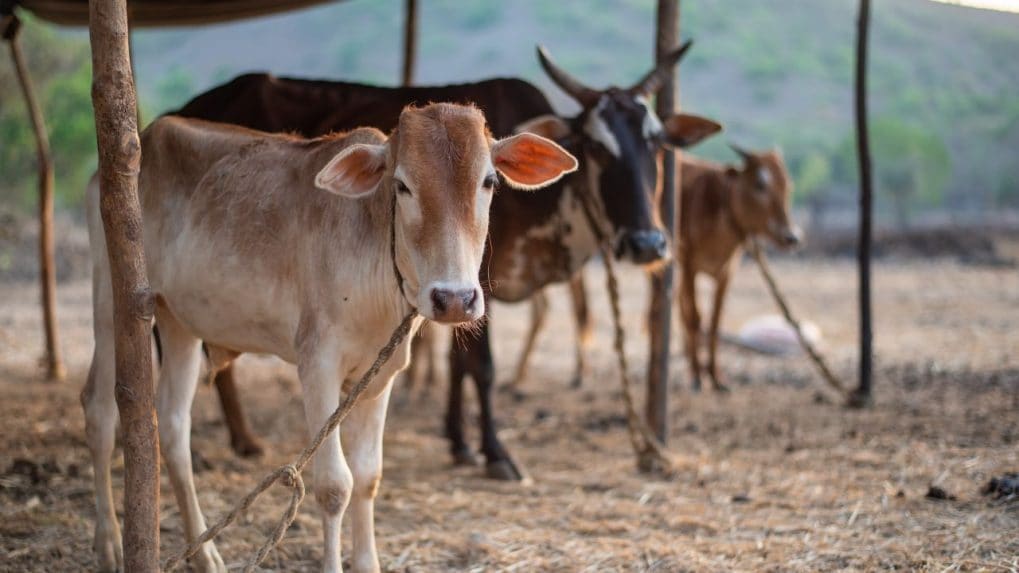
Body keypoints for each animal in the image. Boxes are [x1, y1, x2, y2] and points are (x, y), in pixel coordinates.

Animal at [82, 105, 576, 573]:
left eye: (488, 182)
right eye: (402, 186)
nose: (454, 299)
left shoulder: (381, 375)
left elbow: (368, 475)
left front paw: (369, 563)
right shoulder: (317, 364)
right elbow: (335, 484)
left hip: (179, 322)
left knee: (173, 424)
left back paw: (205, 555)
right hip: (113, 299)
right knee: (101, 411)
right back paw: (108, 544)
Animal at [172, 42, 722, 480]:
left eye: (655, 143)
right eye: (597, 147)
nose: (648, 243)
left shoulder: (463, 287)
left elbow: (460, 364)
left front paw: (459, 442)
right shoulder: (479, 282)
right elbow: (482, 366)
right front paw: (496, 452)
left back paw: (241, 438)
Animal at [511, 147, 803, 394]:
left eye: (787, 186)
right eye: (760, 185)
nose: (792, 237)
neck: (718, 205)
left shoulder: (725, 272)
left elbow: (712, 322)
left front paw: (715, 376)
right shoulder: (688, 264)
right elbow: (694, 318)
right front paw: (698, 377)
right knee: (579, 310)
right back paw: (577, 372)